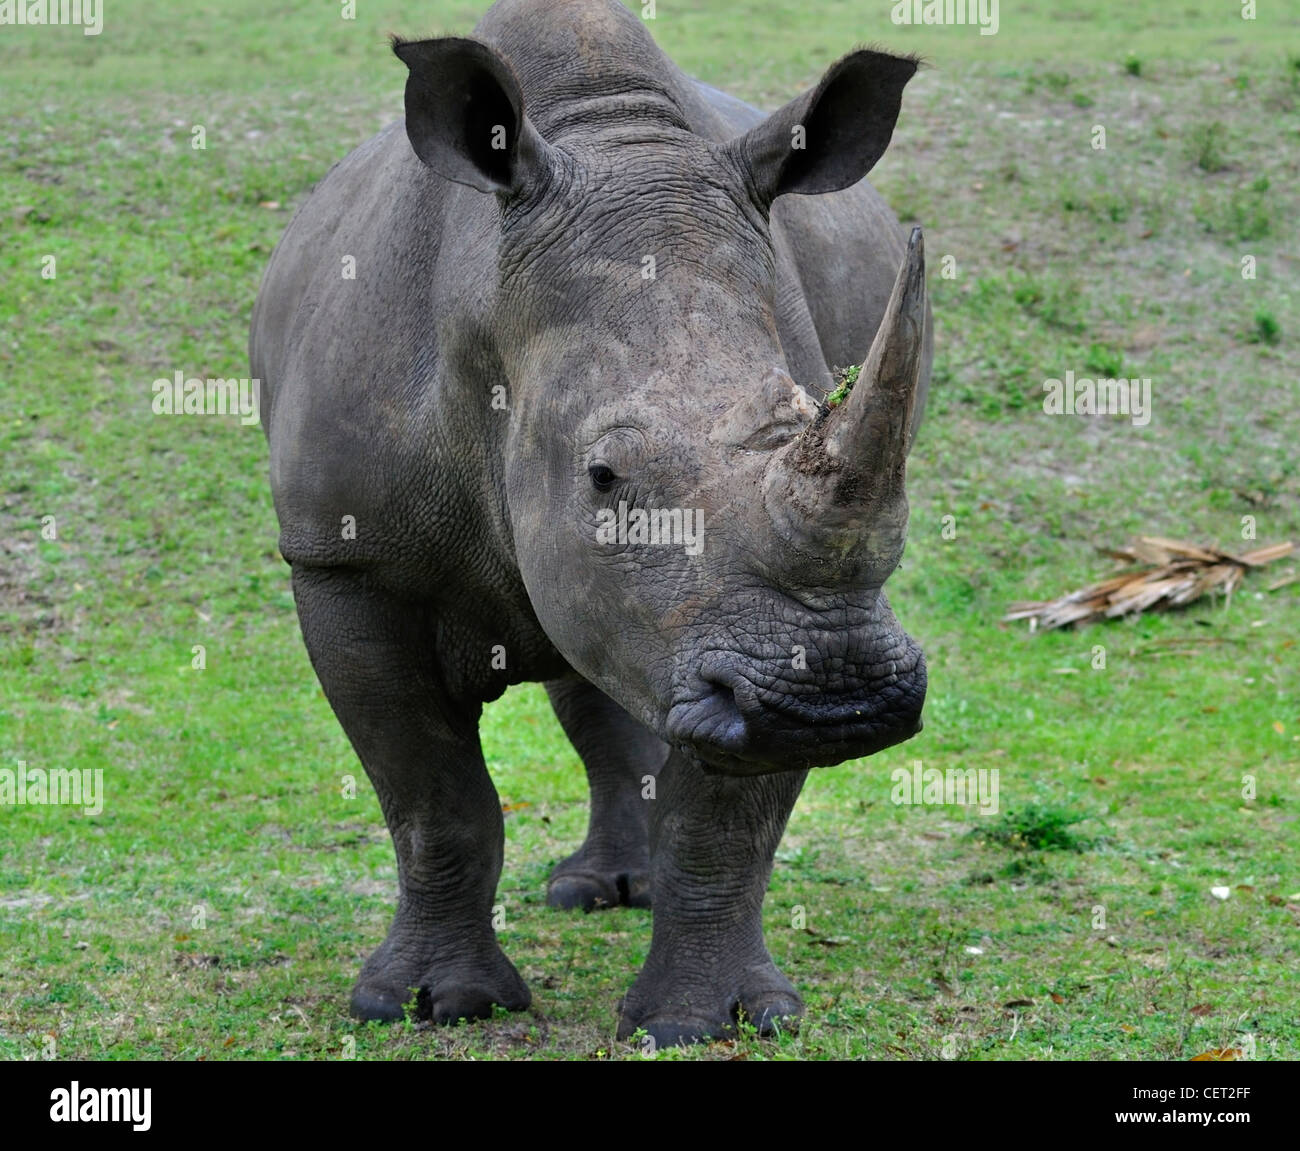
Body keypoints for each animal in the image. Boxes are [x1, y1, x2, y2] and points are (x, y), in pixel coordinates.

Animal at [250, 0, 931, 1046]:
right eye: (604, 476)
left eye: (812, 415)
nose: (837, 696)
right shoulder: (344, 557)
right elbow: (431, 793)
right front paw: (422, 1005)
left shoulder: (741, 641)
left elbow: (724, 816)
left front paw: (710, 1022)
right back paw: (592, 895)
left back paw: (618, 891)